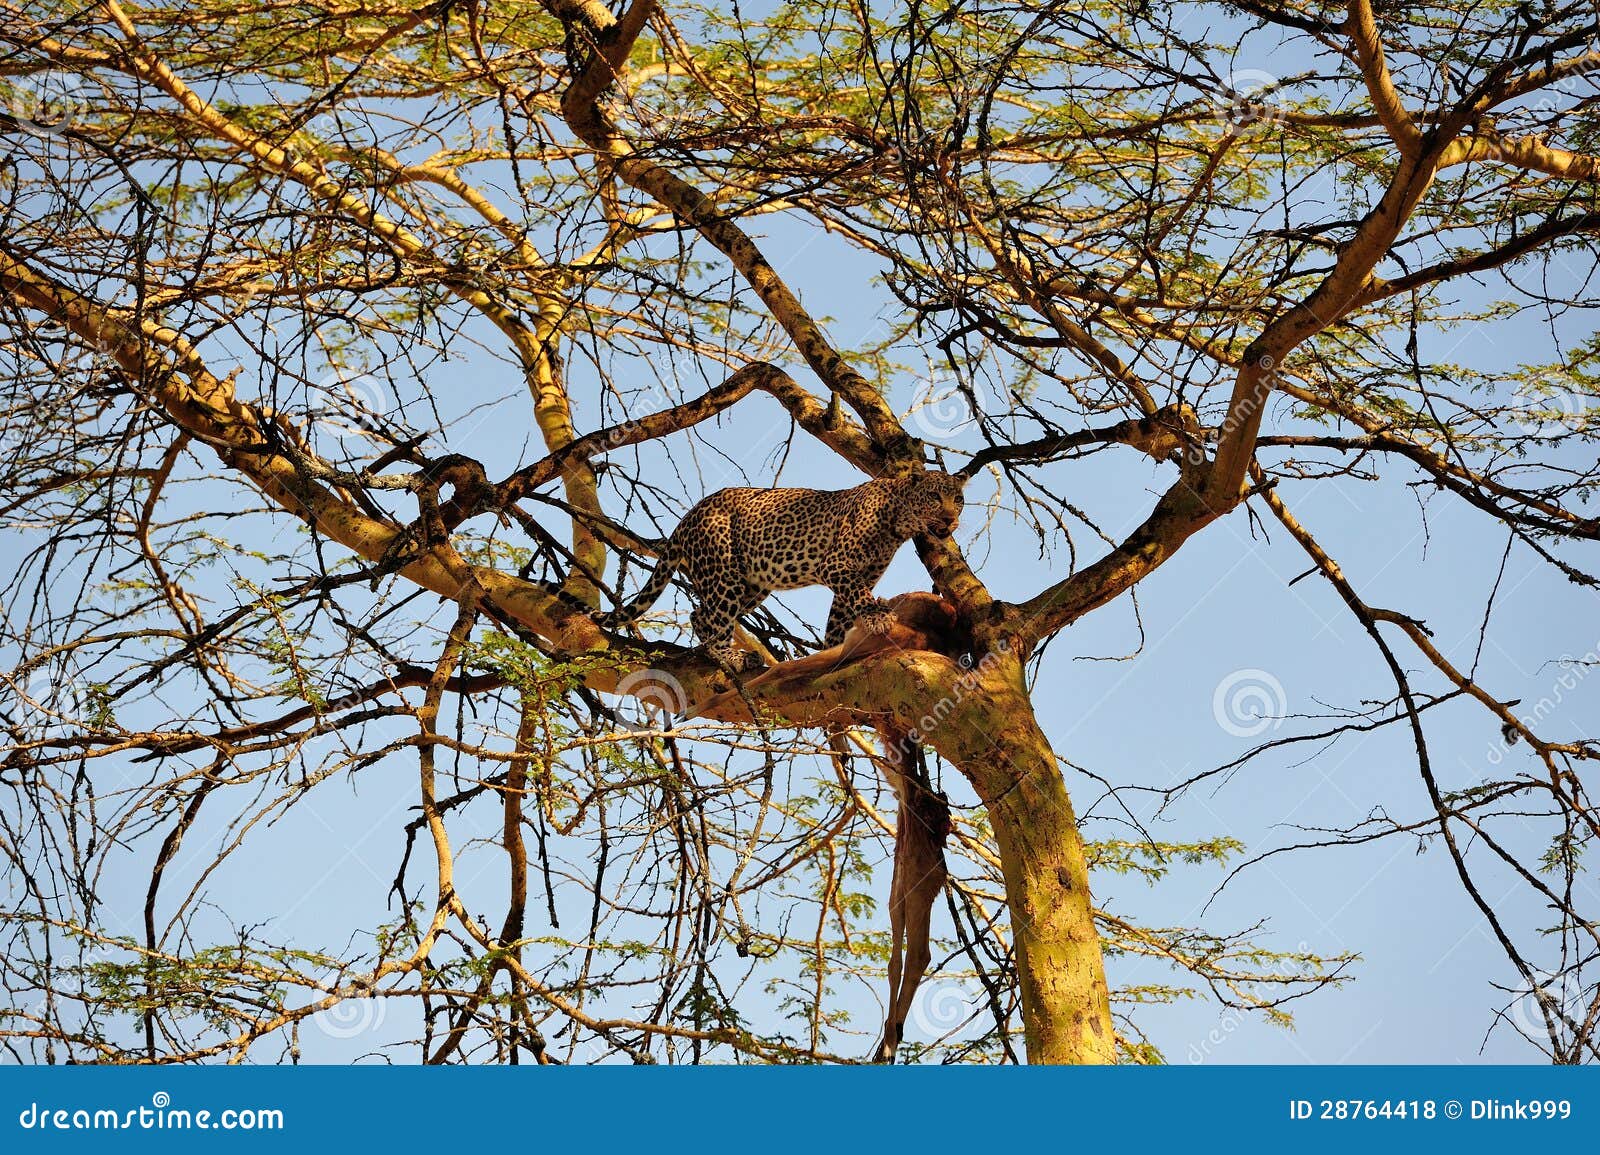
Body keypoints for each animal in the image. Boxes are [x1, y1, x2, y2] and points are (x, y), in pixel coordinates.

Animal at [593, 471, 966, 670]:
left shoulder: (858, 576)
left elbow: (839, 620)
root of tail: (689, 515)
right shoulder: (837, 565)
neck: (898, 523)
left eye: (958, 499)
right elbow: (859, 593)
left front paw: (832, 650)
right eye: (934, 496)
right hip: (723, 575)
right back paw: (729, 657)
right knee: (709, 616)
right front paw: (878, 617)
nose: (951, 519)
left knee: (701, 614)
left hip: (753, 585)